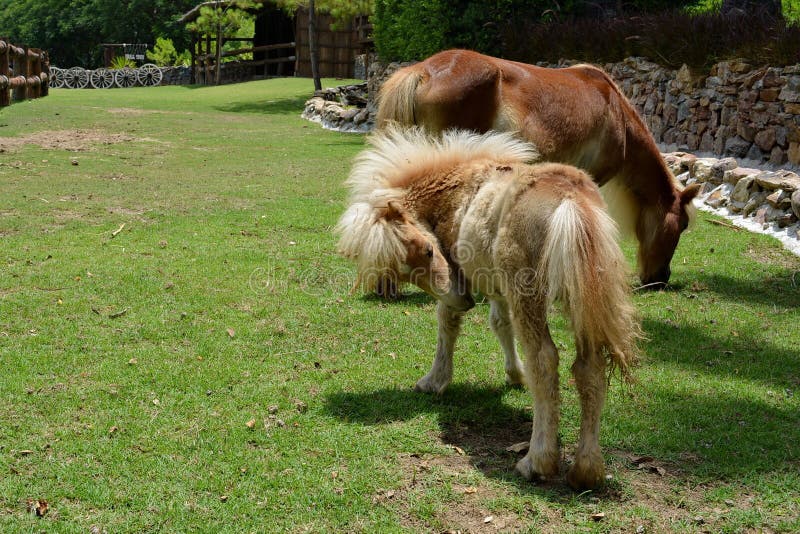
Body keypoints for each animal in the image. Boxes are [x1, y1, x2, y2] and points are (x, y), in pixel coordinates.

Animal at [336, 127, 641, 490]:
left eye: (428, 250)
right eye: (400, 274)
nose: (464, 299)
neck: (458, 189)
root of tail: (570, 200)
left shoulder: (467, 276)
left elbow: (447, 322)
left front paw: (434, 381)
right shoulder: (497, 289)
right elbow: (499, 323)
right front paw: (513, 375)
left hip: (530, 295)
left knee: (545, 359)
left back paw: (537, 461)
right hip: (581, 300)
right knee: (589, 367)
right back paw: (587, 470)